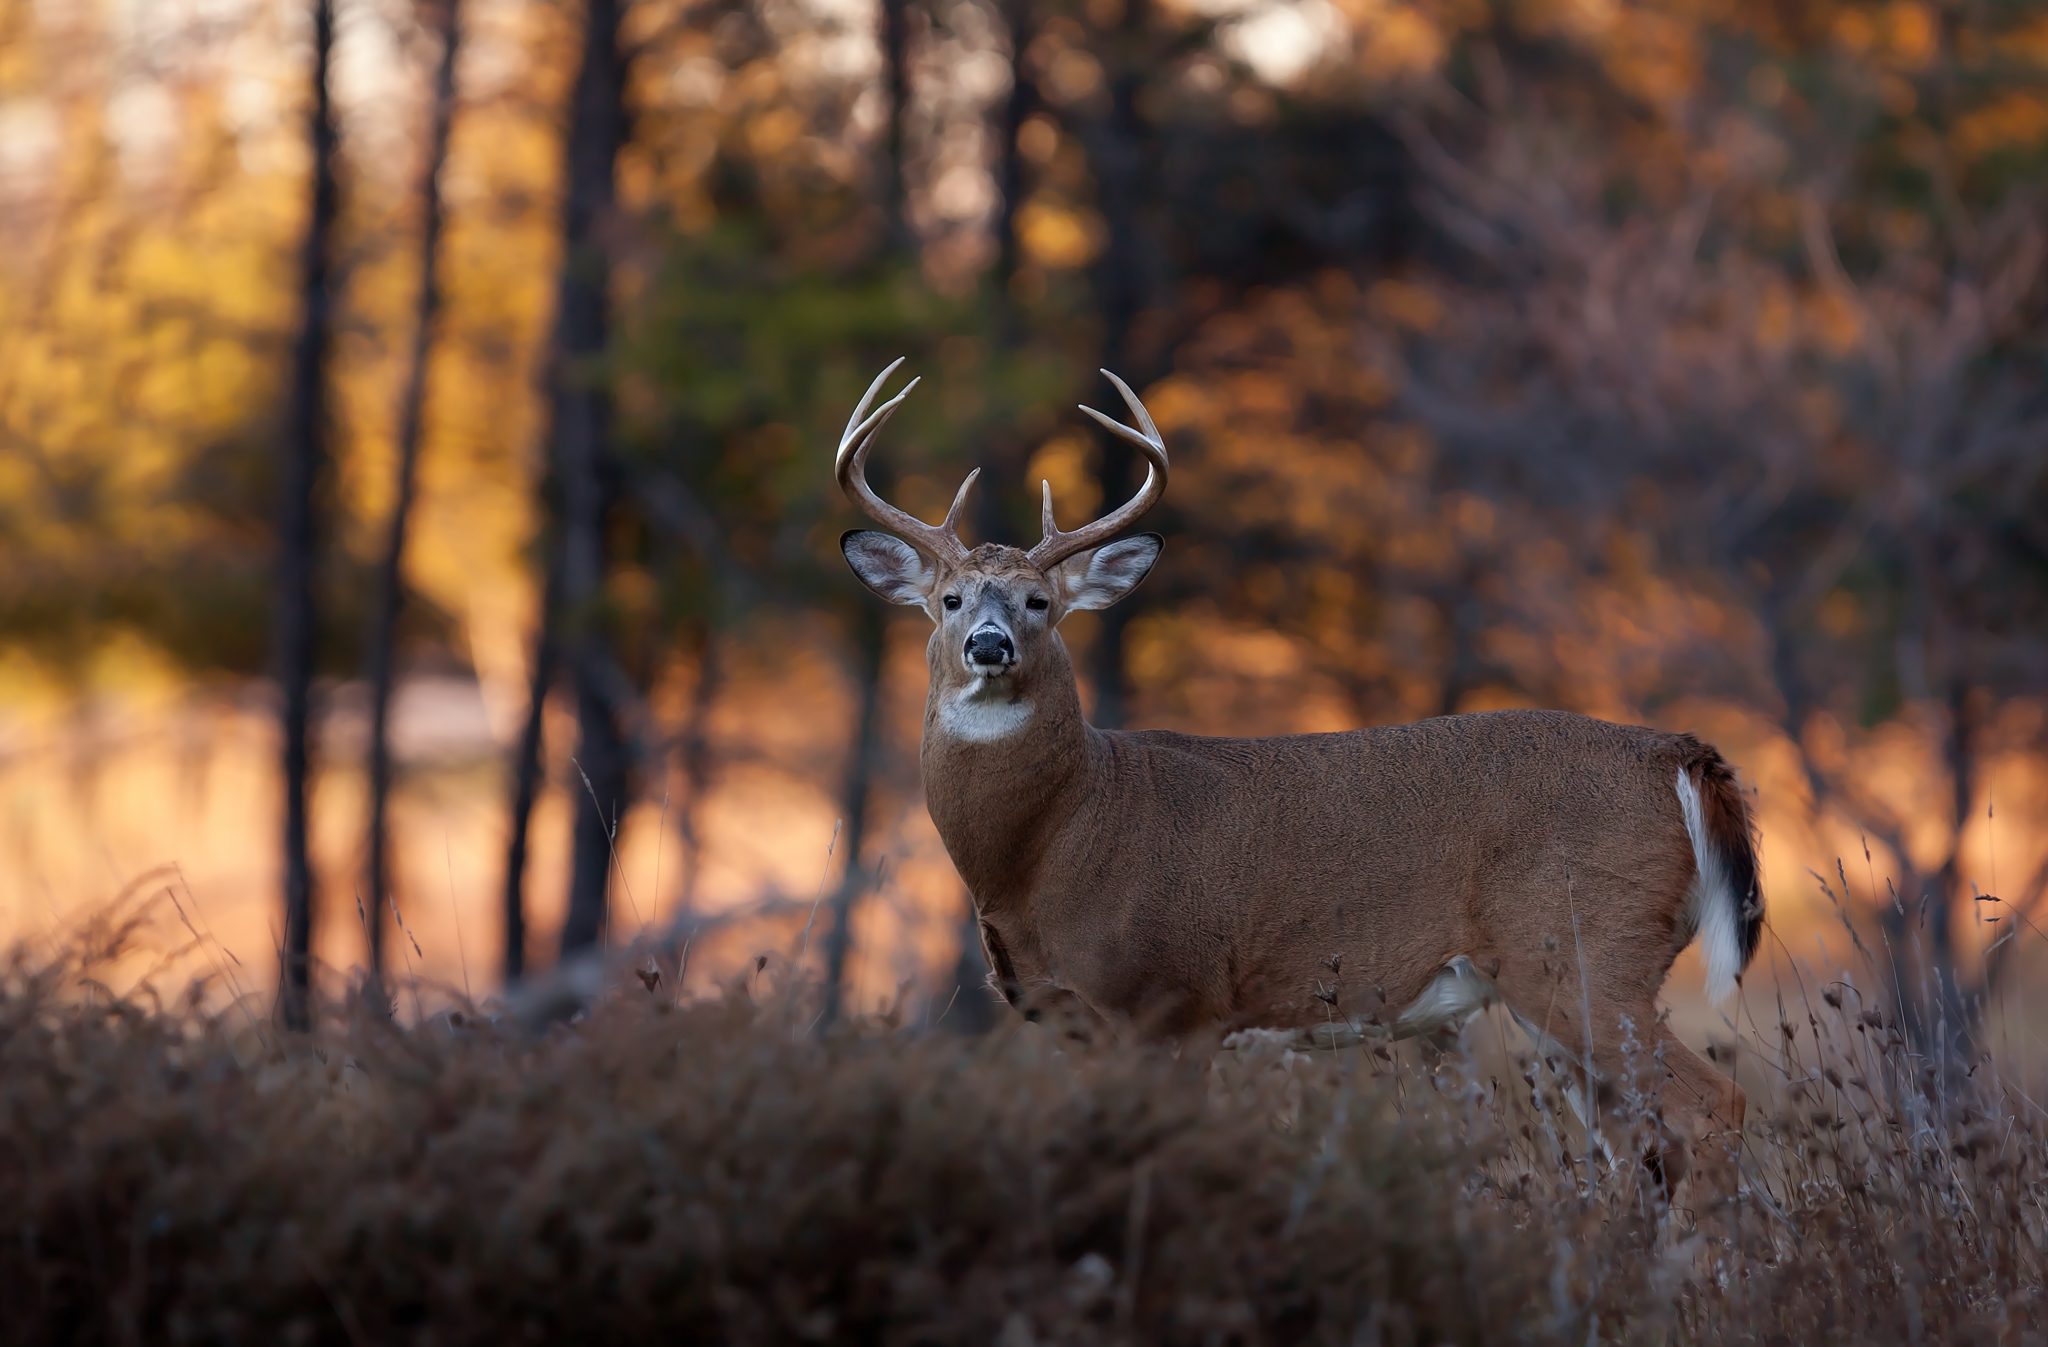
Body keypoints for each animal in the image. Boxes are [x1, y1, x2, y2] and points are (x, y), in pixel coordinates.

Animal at [834, 361, 1765, 1194]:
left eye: (1039, 603)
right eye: (950, 600)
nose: (989, 644)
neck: (1056, 839)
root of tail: (1676, 753)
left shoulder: (1173, 1000)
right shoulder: (1076, 1022)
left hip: (1587, 951)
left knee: (1715, 1107)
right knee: (1642, 1144)